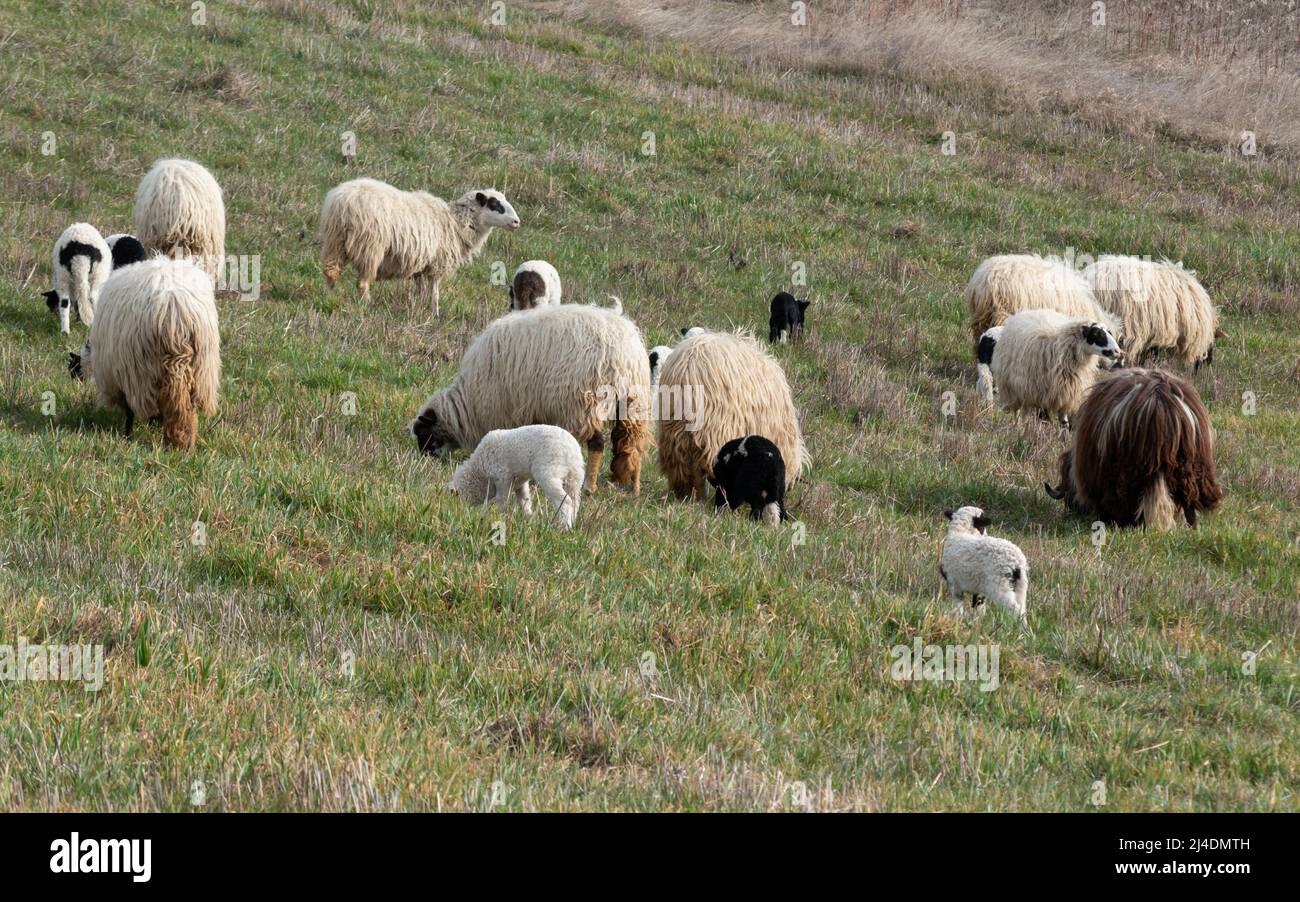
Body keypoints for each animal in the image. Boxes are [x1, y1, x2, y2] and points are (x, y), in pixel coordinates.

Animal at [68, 257, 220, 451]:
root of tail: (174, 309)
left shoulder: (122, 378)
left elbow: (129, 411)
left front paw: (128, 435)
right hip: (199, 369)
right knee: (184, 404)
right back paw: (183, 443)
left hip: (141, 372)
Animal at [320, 178, 519, 316]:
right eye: (494, 203)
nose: (517, 221)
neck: (456, 224)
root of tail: (344, 201)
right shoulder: (438, 264)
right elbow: (434, 292)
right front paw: (434, 314)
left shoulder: (422, 266)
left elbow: (420, 291)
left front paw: (418, 310)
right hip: (371, 246)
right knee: (362, 282)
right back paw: (367, 305)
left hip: (334, 241)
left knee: (331, 272)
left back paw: (329, 300)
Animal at [408, 303, 651, 494]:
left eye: (424, 434)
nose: (425, 458)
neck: (468, 402)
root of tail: (626, 354)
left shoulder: (508, 409)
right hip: (632, 405)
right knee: (633, 445)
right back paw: (635, 489)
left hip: (587, 404)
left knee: (598, 445)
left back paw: (589, 487)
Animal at [447, 425, 584, 529]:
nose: (466, 513)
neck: (479, 469)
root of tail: (571, 450)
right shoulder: (520, 481)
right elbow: (524, 499)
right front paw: (528, 517)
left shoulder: (502, 476)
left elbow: (502, 499)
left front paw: (500, 516)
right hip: (575, 476)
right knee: (575, 500)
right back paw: (572, 523)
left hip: (549, 471)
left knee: (565, 500)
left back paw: (564, 527)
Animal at [989, 309, 1122, 427]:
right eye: (1095, 334)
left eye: (1108, 332)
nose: (1117, 351)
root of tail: (1023, 313)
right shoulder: (1044, 394)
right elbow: (1045, 419)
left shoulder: (1065, 393)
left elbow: (1064, 423)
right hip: (1014, 390)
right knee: (1018, 413)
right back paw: (1018, 428)